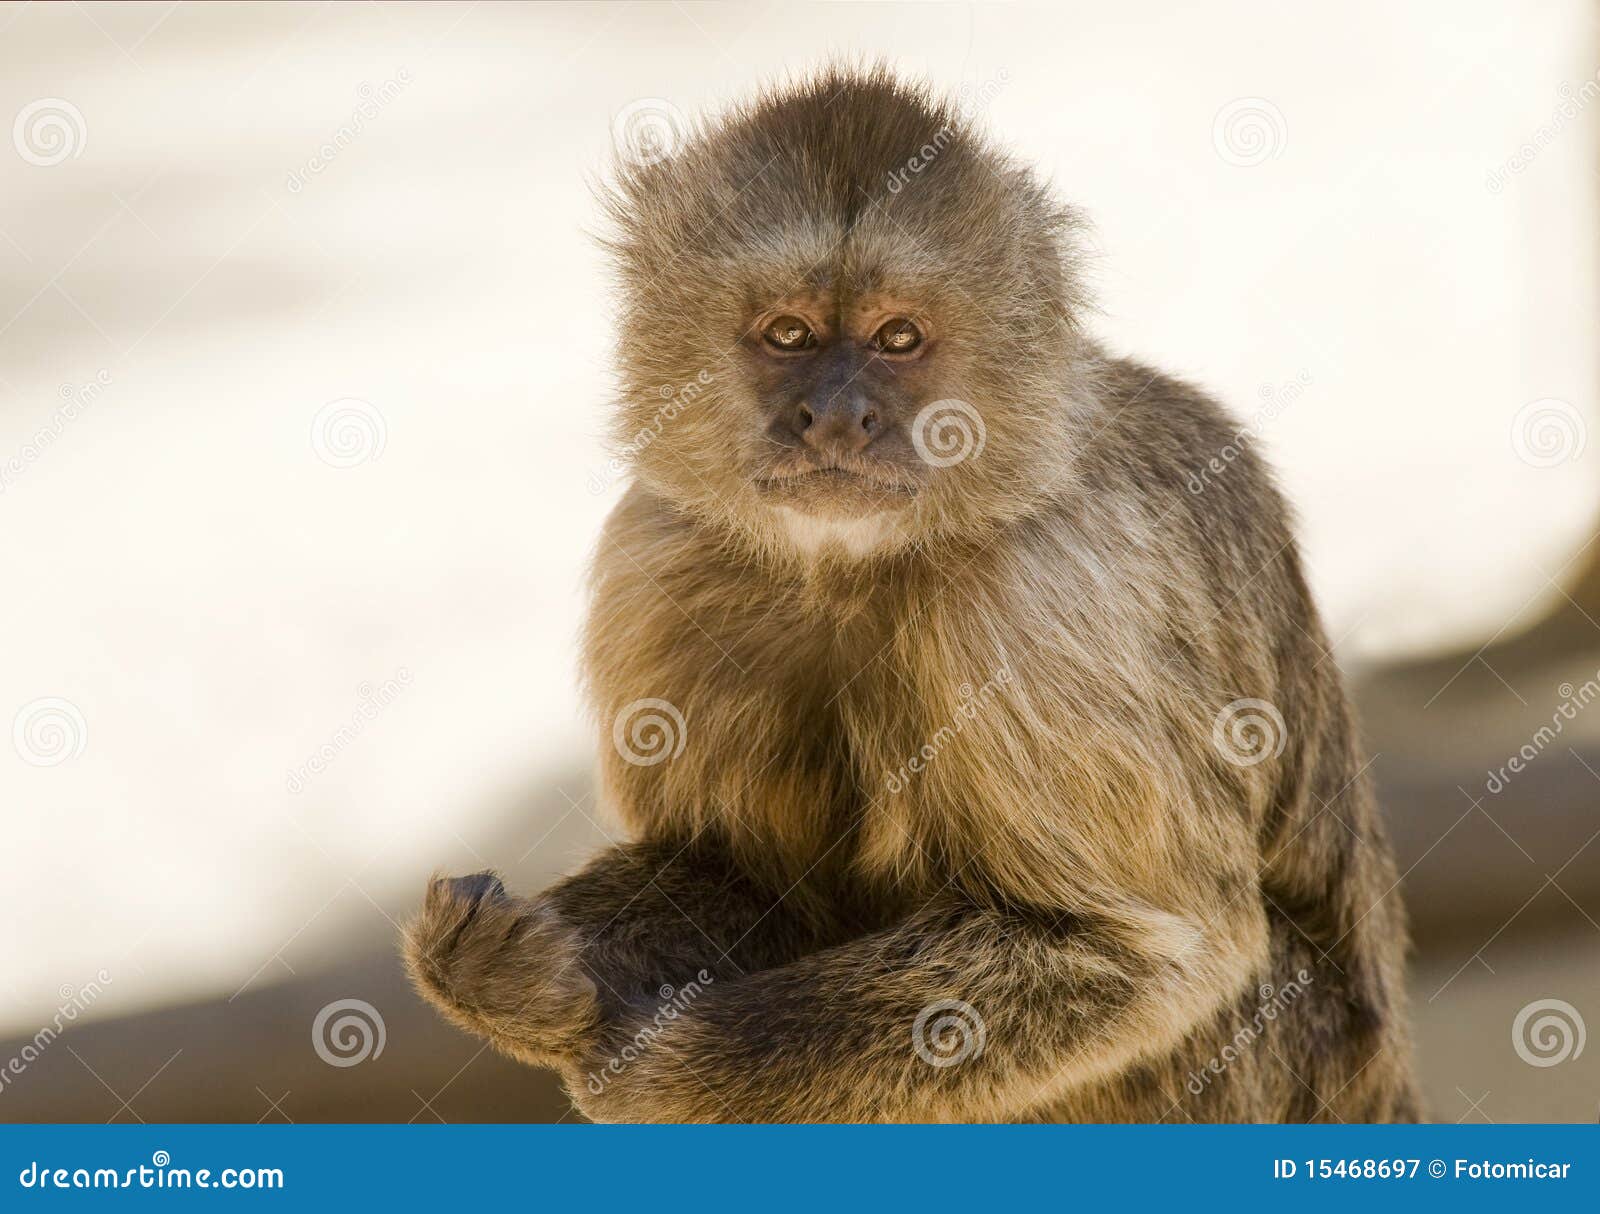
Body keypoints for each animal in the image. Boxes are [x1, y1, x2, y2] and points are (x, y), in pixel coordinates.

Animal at [403, 64, 1421, 1123]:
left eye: (898, 338)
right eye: (790, 334)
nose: (835, 415)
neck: (853, 565)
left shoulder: (1038, 602)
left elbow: (1145, 952)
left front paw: (676, 1070)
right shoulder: (656, 562)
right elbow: (740, 875)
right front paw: (524, 979)